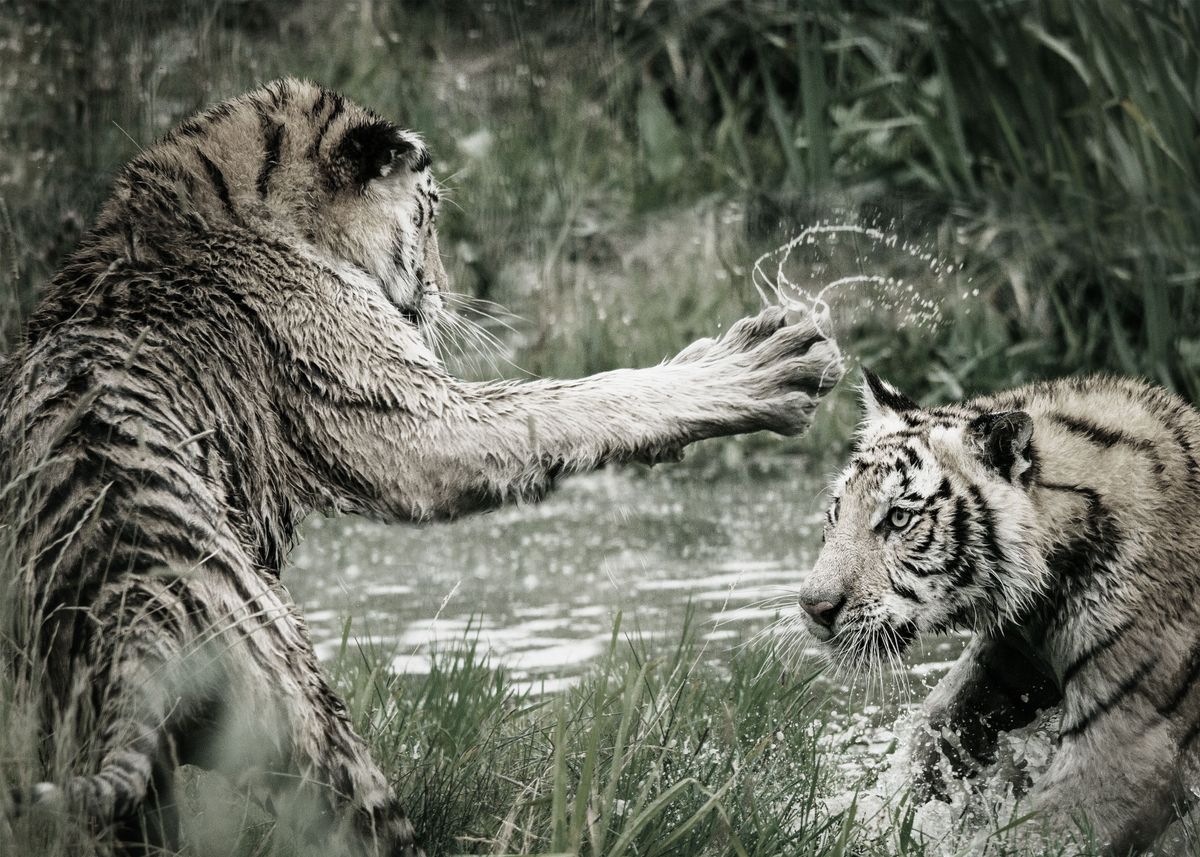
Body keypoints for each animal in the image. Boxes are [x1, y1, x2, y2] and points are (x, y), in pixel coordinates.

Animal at [0, 77, 843, 855]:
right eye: (429, 215)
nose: (443, 292)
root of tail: (130, 610)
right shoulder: (415, 421)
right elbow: (578, 400)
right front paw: (763, 366)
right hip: (307, 718)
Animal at [796, 368, 1200, 855]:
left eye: (898, 519)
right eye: (838, 512)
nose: (813, 607)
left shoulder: (1129, 749)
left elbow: (1030, 837)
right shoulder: (1009, 658)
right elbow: (933, 731)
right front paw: (867, 822)